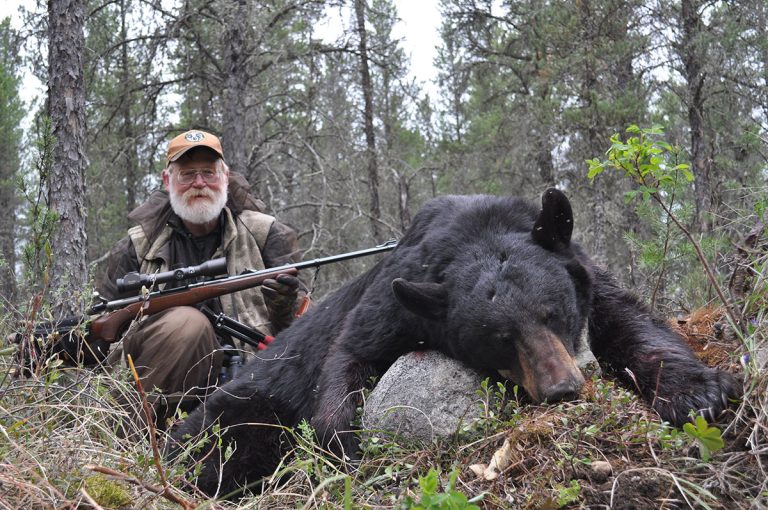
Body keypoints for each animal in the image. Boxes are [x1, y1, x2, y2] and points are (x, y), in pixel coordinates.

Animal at [170, 188, 740, 496]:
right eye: (501, 338)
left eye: (553, 313)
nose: (561, 389)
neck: (473, 230)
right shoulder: (396, 299)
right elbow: (345, 358)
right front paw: (344, 448)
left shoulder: (588, 278)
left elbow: (633, 322)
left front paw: (697, 392)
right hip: (237, 413)